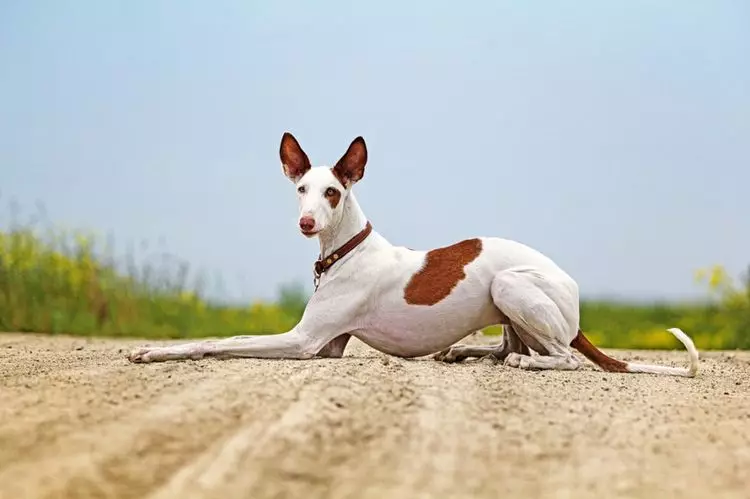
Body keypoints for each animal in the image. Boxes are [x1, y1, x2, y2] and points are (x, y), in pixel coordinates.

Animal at [128, 133, 700, 378]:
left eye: (333, 192)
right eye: (301, 189)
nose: (306, 223)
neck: (347, 250)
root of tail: (573, 294)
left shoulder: (306, 342)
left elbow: (219, 342)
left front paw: (152, 352)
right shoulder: (328, 345)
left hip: (511, 286)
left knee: (560, 358)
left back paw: (521, 360)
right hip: (507, 305)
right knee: (506, 347)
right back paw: (465, 351)